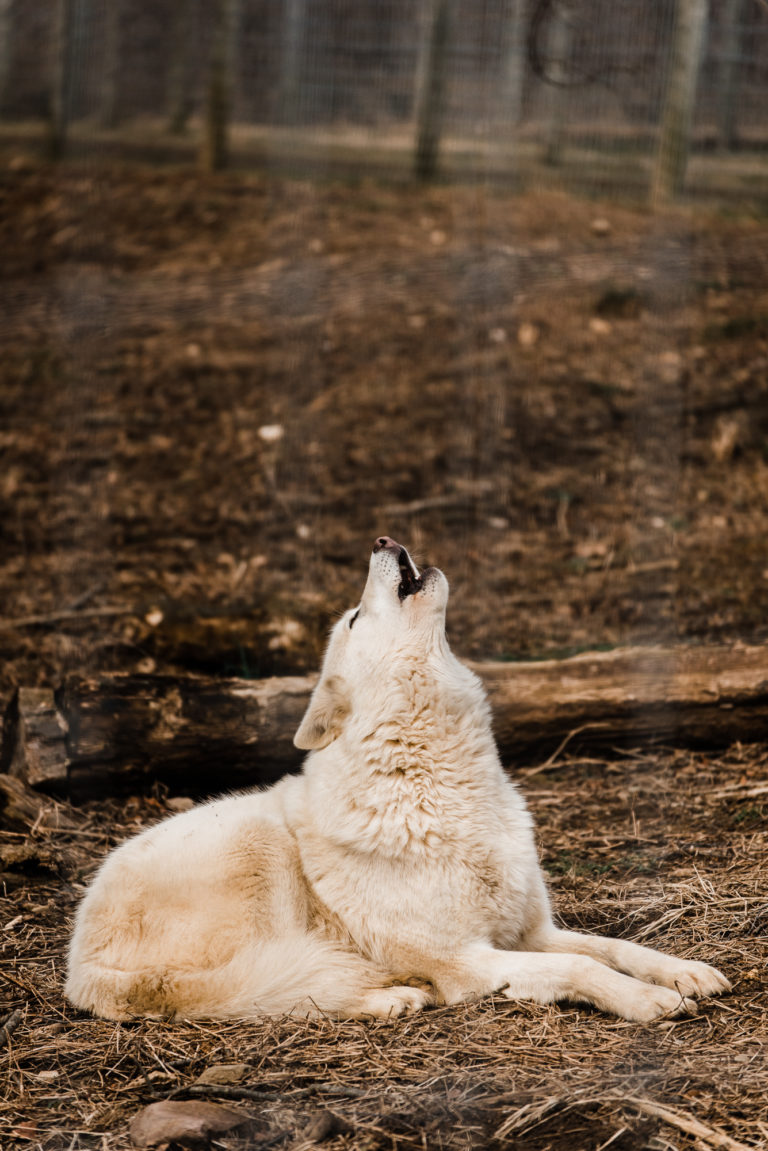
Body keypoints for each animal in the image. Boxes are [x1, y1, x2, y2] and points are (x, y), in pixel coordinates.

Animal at [65, 536, 730, 1022]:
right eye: (357, 617)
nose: (382, 539)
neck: (440, 783)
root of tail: (79, 970)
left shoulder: (530, 931)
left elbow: (613, 947)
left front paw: (684, 971)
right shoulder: (468, 960)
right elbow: (584, 968)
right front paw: (649, 1000)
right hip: (257, 849)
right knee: (272, 992)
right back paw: (392, 998)